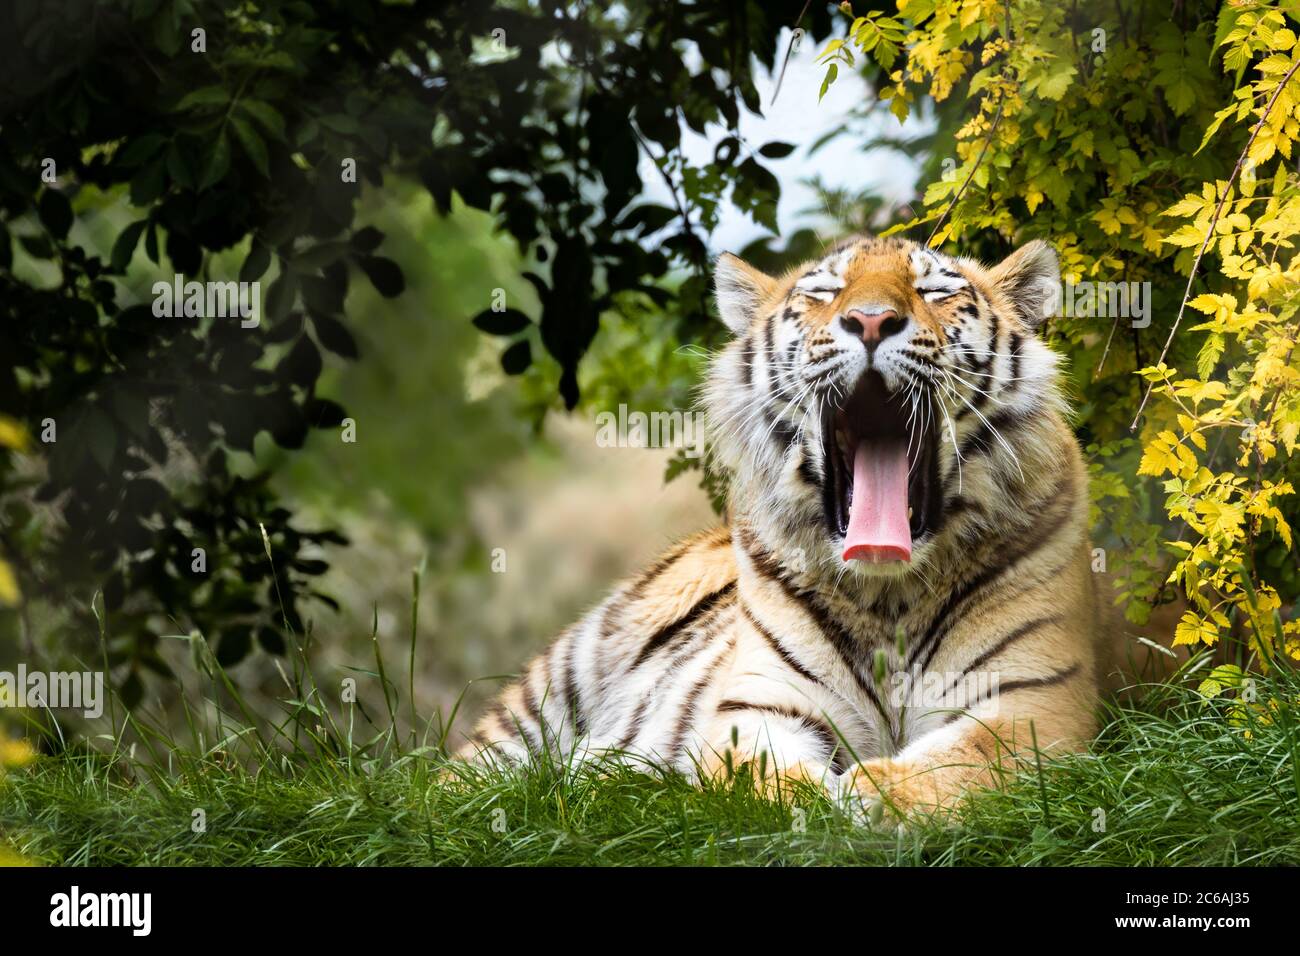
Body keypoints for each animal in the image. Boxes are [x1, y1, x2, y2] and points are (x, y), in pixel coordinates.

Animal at [456, 234, 1102, 819]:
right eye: (825, 292)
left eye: (934, 291)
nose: (871, 321)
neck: (890, 595)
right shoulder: (758, 710)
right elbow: (769, 784)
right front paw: (823, 807)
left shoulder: (1030, 705)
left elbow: (954, 768)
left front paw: (870, 796)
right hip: (552, 689)